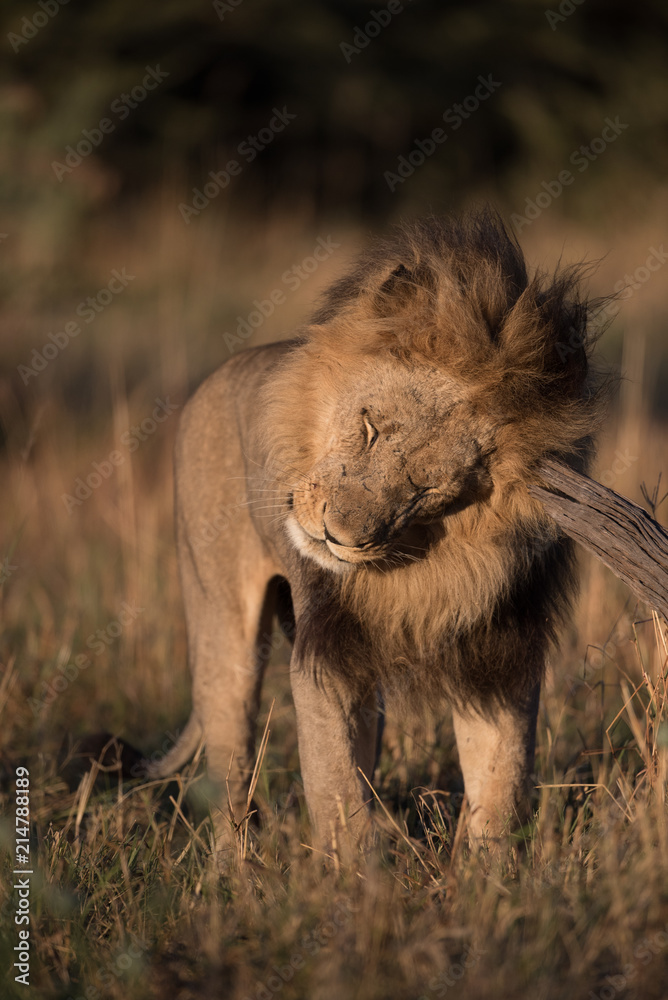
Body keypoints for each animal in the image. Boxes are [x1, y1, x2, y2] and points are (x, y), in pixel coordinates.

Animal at [146, 211, 604, 854]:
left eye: (430, 490)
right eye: (370, 428)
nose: (339, 535)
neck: (419, 572)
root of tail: (213, 379)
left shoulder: (498, 652)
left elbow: (501, 784)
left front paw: (489, 873)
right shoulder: (325, 657)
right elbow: (337, 793)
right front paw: (354, 877)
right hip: (219, 621)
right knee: (231, 762)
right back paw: (235, 868)